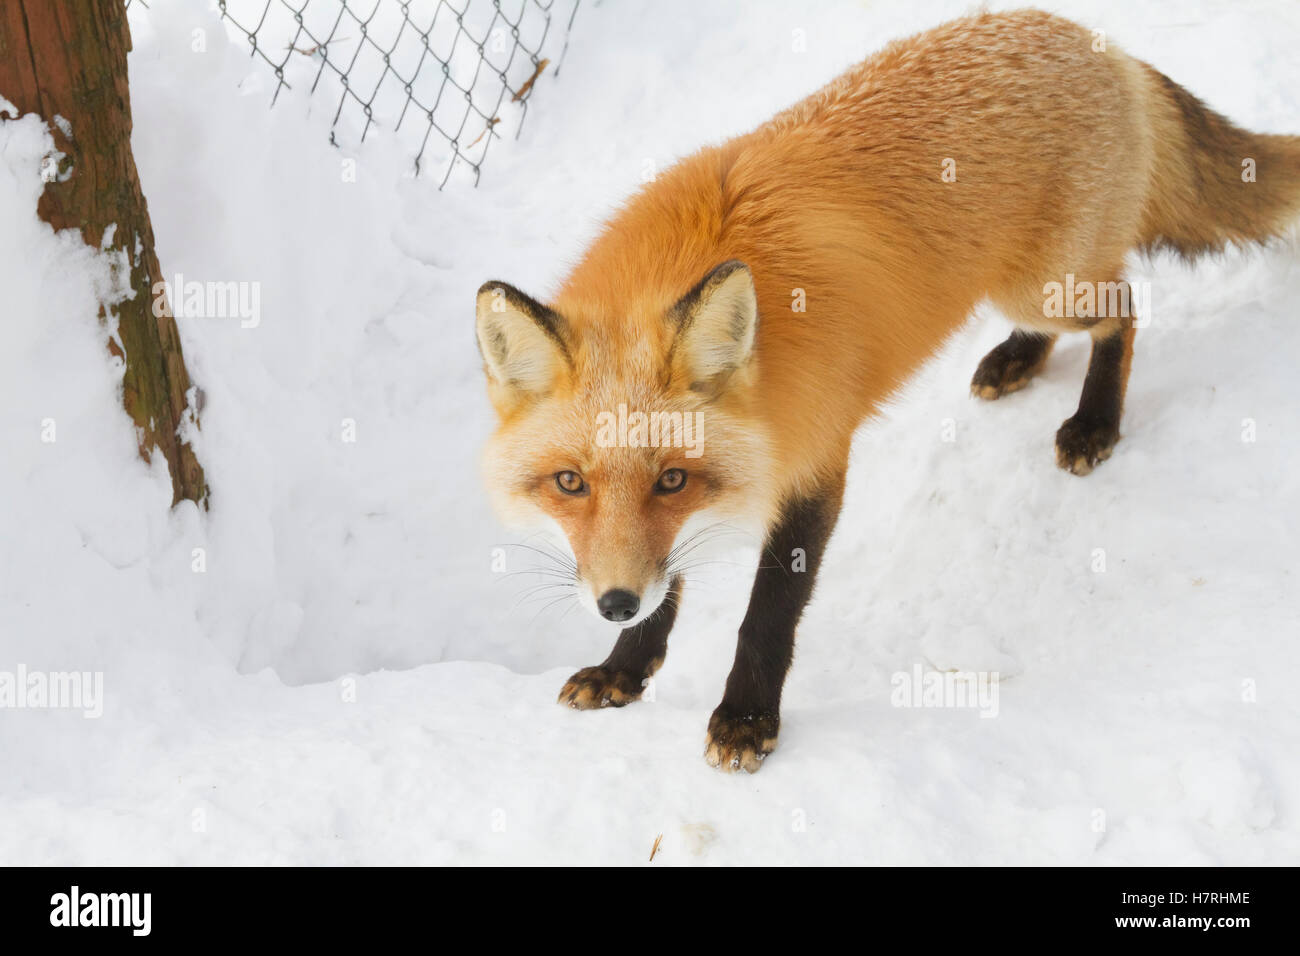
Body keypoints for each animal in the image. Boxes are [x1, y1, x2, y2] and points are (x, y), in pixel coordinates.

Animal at [475, 9, 1300, 772]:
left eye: (671, 479)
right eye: (570, 483)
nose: (613, 602)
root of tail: (1085, 35)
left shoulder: (814, 462)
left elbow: (766, 615)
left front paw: (746, 718)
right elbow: (668, 586)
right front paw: (625, 668)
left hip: (1045, 286)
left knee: (1123, 311)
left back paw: (1094, 423)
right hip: (1016, 284)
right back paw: (1016, 361)